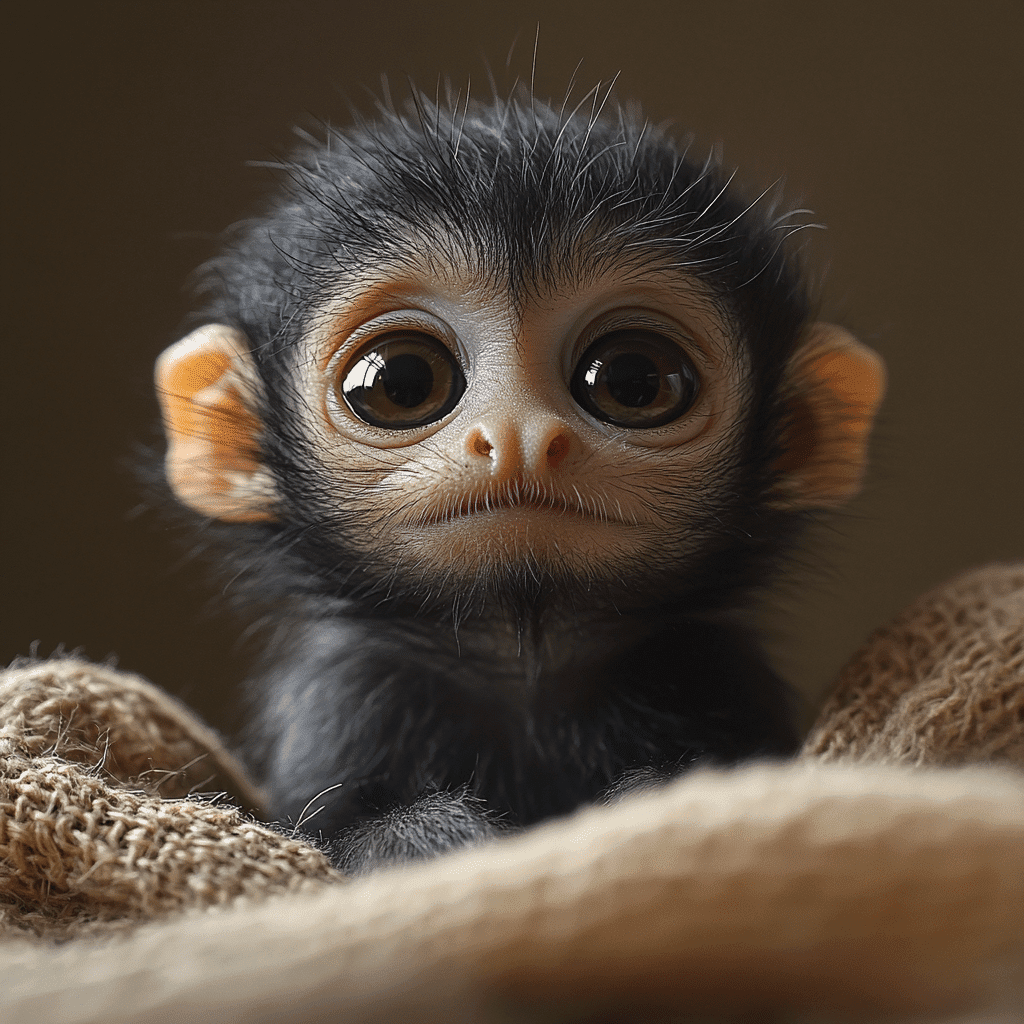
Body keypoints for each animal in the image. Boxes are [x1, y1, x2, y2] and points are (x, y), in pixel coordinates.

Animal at [154, 85, 885, 874]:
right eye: (400, 382)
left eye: (634, 379)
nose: (521, 437)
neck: (526, 662)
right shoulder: (344, 697)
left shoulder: (719, 673)